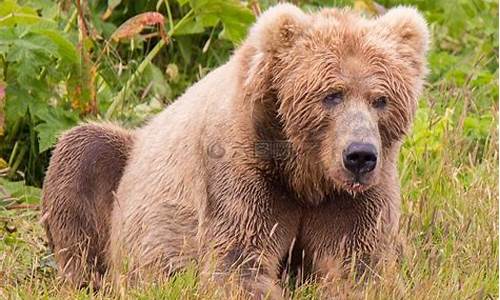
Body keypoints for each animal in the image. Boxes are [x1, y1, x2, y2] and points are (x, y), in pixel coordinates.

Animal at [41, 3, 428, 298]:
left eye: (381, 99)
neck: (303, 174)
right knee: (81, 155)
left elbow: (357, 264)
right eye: (331, 95)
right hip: (119, 169)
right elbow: (238, 263)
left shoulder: (356, 197)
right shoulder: (240, 170)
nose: (359, 155)